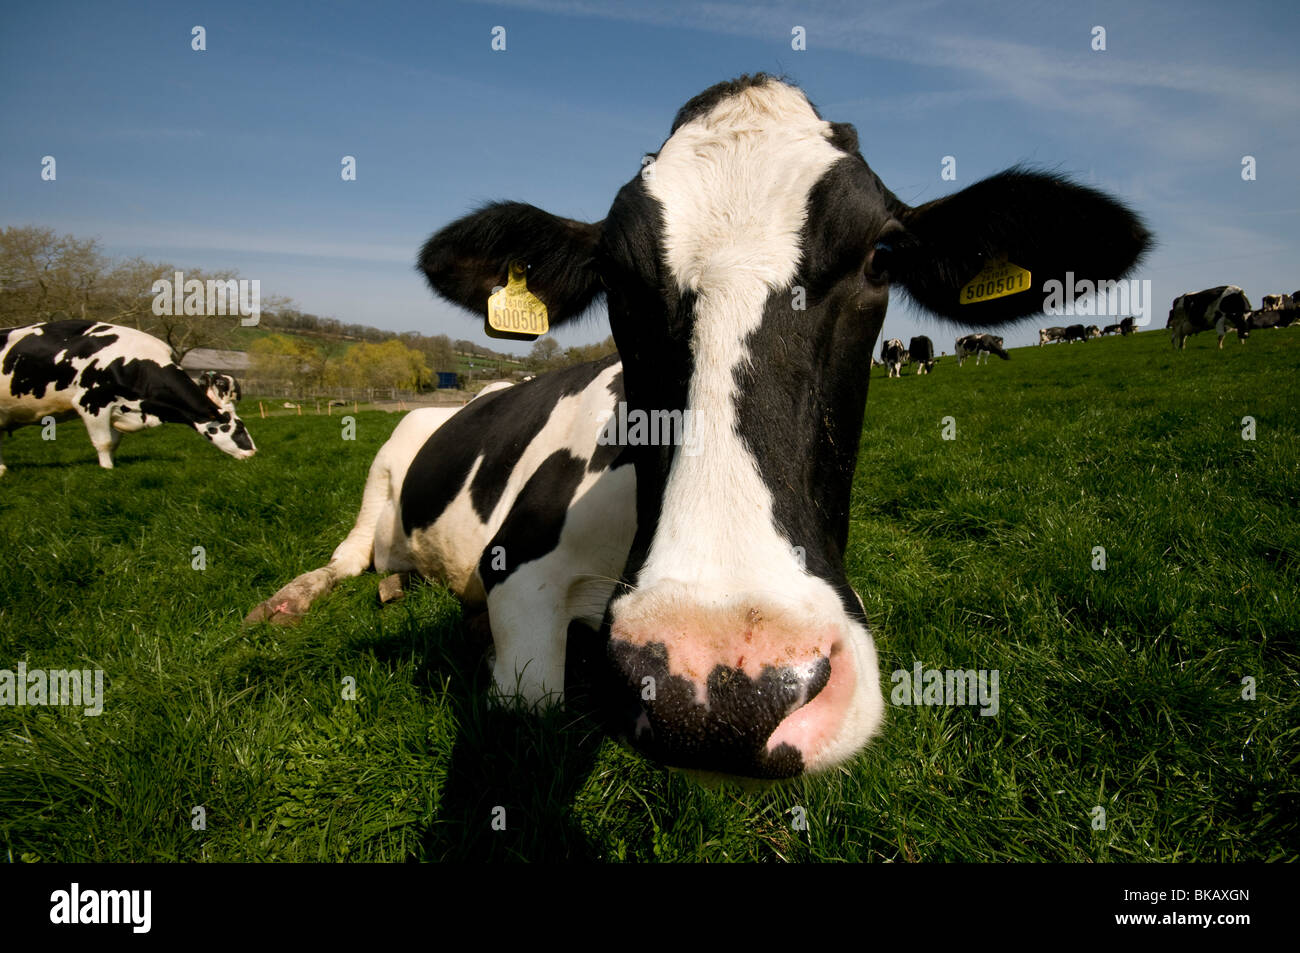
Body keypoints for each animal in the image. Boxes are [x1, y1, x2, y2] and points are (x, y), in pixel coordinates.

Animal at [0, 320, 256, 476]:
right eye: (237, 429)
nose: (253, 453)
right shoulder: (90, 403)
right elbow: (103, 442)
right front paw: (106, 471)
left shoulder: (118, 409)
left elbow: (113, 442)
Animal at [246, 74, 1149, 780]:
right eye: (613, 273)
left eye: (881, 256)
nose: (726, 689)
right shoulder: (516, 568)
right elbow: (532, 695)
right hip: (385, 460)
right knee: (350, 553)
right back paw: (289, 600)